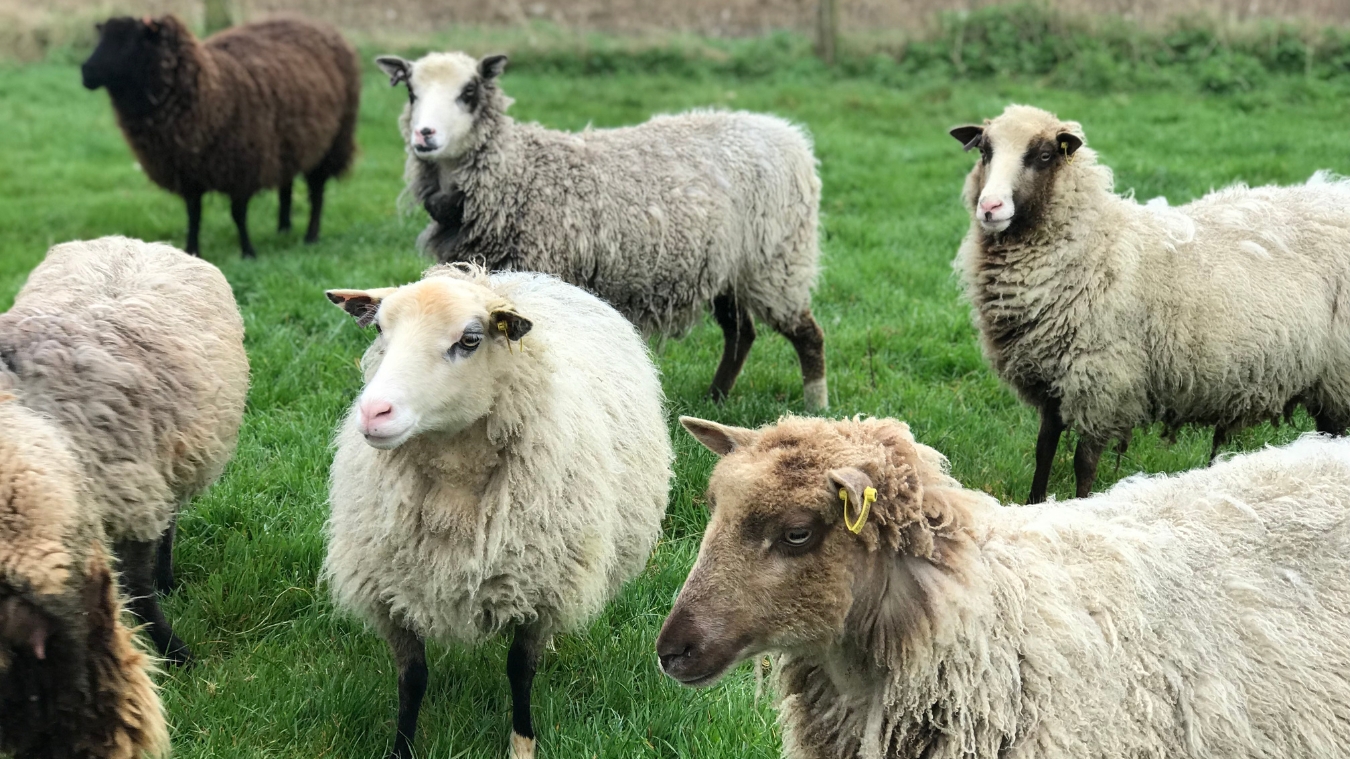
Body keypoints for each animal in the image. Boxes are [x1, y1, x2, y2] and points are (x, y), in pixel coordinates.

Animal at [0, 235, 250, 666]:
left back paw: (166, 580)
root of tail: (130, 240)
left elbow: (136, 588)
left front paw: (176, 654)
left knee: (168, 523)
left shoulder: (132, 500)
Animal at [81, 14, 361, 258]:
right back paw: (283, 228)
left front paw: (248, 253)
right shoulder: (188, 171)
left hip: (333, 141)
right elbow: (194, 215)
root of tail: (314, 22)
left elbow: (238, 214)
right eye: (100, 38)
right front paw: (192, 251)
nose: (85, 72)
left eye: (129, 42)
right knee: (287, 184)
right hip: (289, 142)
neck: (208, 90)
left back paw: (311, 236)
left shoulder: (242, 166)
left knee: (317, 191)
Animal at [324, 263, 672, 759]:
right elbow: (412, 679)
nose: (374, 413)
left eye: (470, 340)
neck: (454, 487)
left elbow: (520, 670)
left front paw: (522, 743)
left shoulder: (542, 589)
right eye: (379, 330)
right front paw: (402, 748)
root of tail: (519, 276)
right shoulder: (389, 593)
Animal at [373, 52, 829, 410]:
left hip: (777, 261)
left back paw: (815, 406)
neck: (518, 173)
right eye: (412, 92)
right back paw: (716, 398)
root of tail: (785, 133)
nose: (425, 135)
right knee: (741, 332)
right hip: (726, 267)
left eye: (469, 92)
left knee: (807, 333)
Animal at [947, 104, 1350, 503]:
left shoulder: (1102, 381)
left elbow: (1084, 462)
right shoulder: (1052, 382)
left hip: (1339, 374)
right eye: (985, 151)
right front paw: (1034, 505)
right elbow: (1043, 450)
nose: (990, 206)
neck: (1093, 244)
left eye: (1044, 156)